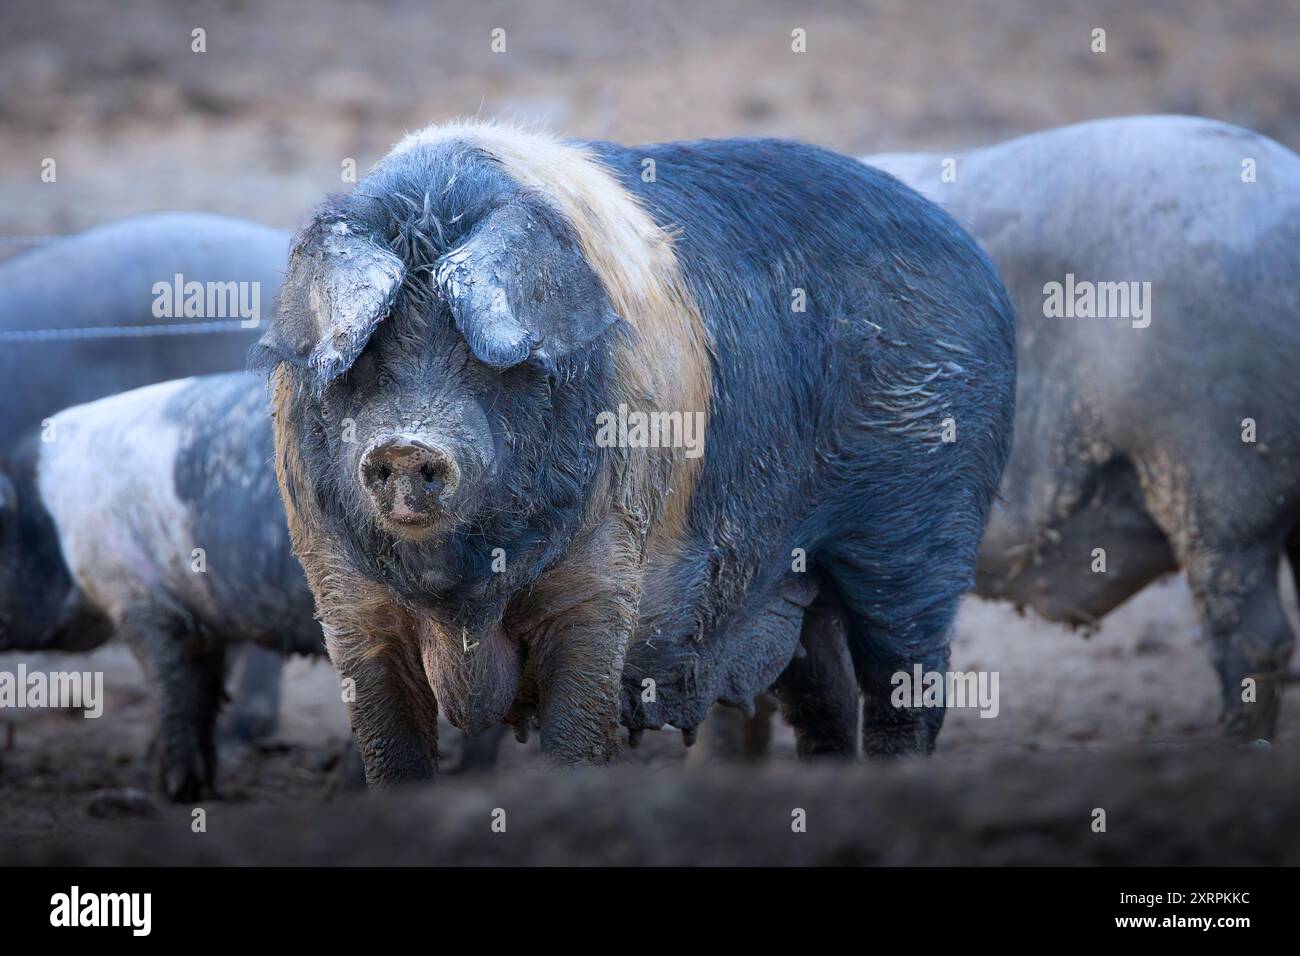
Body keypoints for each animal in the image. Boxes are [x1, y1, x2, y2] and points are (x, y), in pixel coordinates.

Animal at [0, 373, 322, 799]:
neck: (46, 516)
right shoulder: (203, 613)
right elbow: (203, 691)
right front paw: (206, 789)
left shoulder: (133, 591)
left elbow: (170, 683)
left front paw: (177, 791)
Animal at [256, 121, 1016, 785]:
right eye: (364, 361)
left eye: (488, 362)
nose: (407, 444)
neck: (461, 600)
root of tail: (974, 258)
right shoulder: (342, 591)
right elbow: (390, 748)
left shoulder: (604, 566)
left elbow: (578, 726)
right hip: (800, 572)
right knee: (824, 701)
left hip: (923, 523)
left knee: (905, 688)